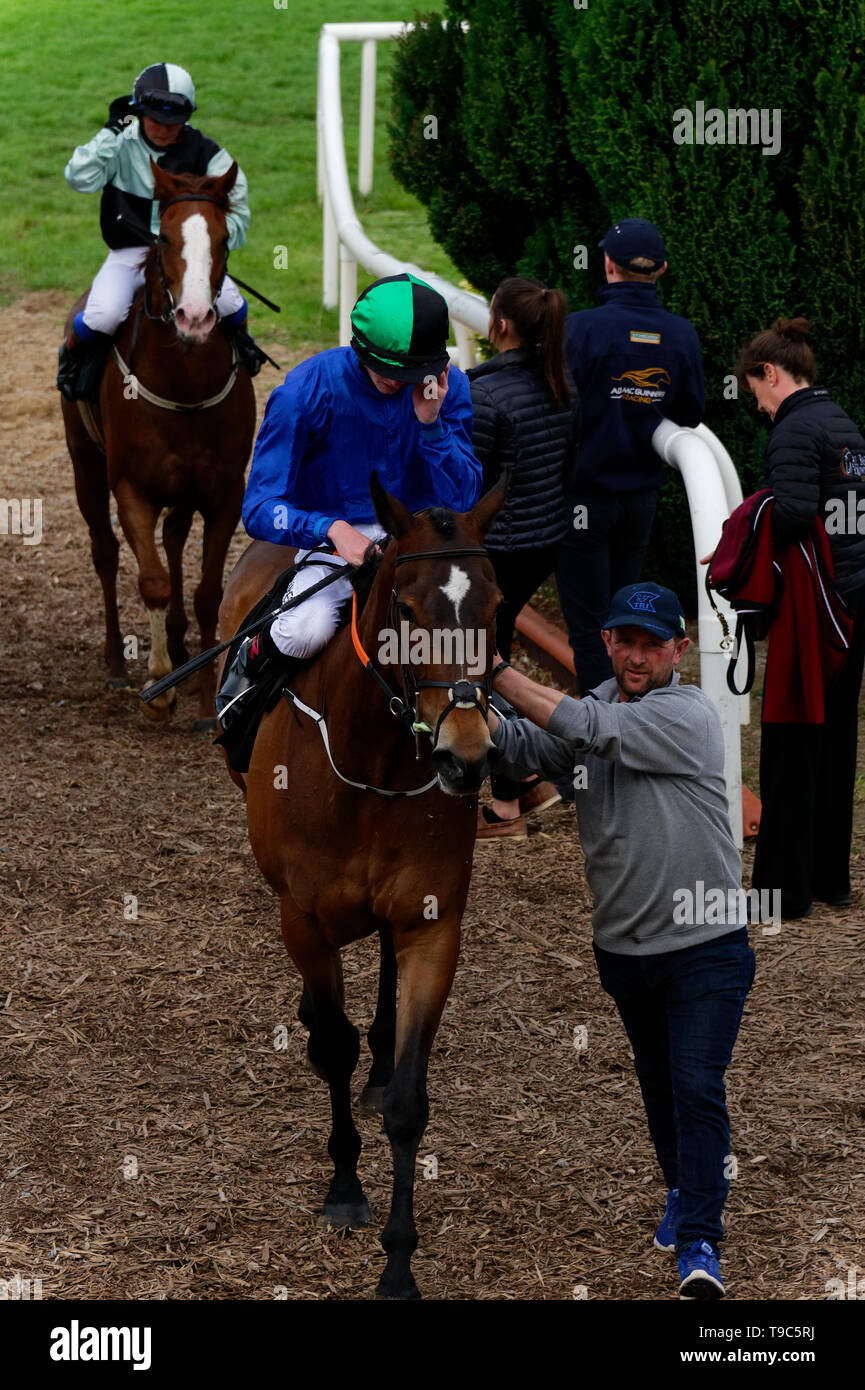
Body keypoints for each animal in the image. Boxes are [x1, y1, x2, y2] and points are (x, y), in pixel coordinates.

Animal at [60, 158, 256, 727]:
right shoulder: (131, 488)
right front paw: (159, 687)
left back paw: (180, 644)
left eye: (224, 239)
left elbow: (209, 593)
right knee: (104, 552)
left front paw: (207, 698)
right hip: (85, 464)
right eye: (164, 237)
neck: (183, 384)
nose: (194, 316)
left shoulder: (223, 490)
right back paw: (115, 661)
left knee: (173, 538)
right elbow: (151, 580)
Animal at [217, 473, 505, 1298]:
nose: (466, 755)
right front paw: (344, 1186)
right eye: (405, 608)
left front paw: (399, 1262)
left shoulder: (433, 923)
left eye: (495, 605)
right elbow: (333, 1047)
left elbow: (408, 1099)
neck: (373, 762)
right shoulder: (303, 917)